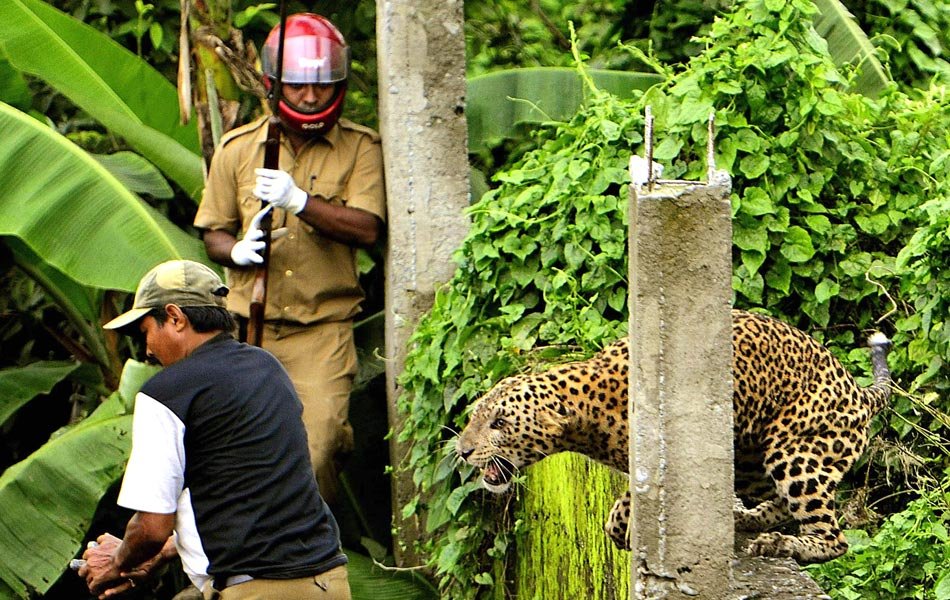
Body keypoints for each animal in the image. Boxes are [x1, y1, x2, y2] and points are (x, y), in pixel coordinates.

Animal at [456, 309, 892, 563]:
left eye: (499, 423)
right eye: (475, 416)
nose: (462, 451)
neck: (586, 413)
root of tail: (860, 391)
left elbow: (634, 499)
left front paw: (627, 528)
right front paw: (622, 528)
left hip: (794, 452)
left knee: (833, 538)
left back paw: (782, 544)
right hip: (750, 457)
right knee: (781, 503)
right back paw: (747, 519)